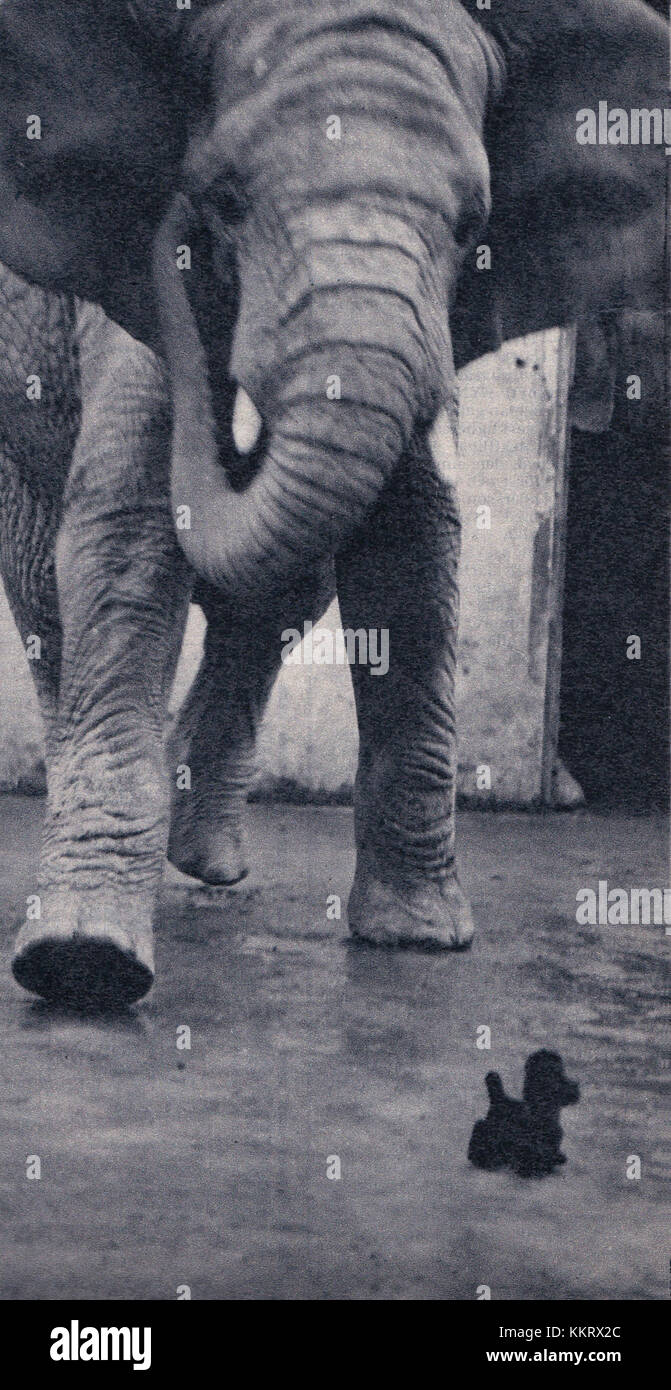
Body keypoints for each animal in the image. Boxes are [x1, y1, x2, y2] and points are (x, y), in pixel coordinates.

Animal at [0, 0, 666, 1007]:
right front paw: (85, 967)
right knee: (48, 586)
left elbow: (415, 558)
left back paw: (206, 861)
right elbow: (126, 542)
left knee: (281, 599)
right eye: (222, 200)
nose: (177, 231)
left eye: (471, 226)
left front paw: (421, 940)